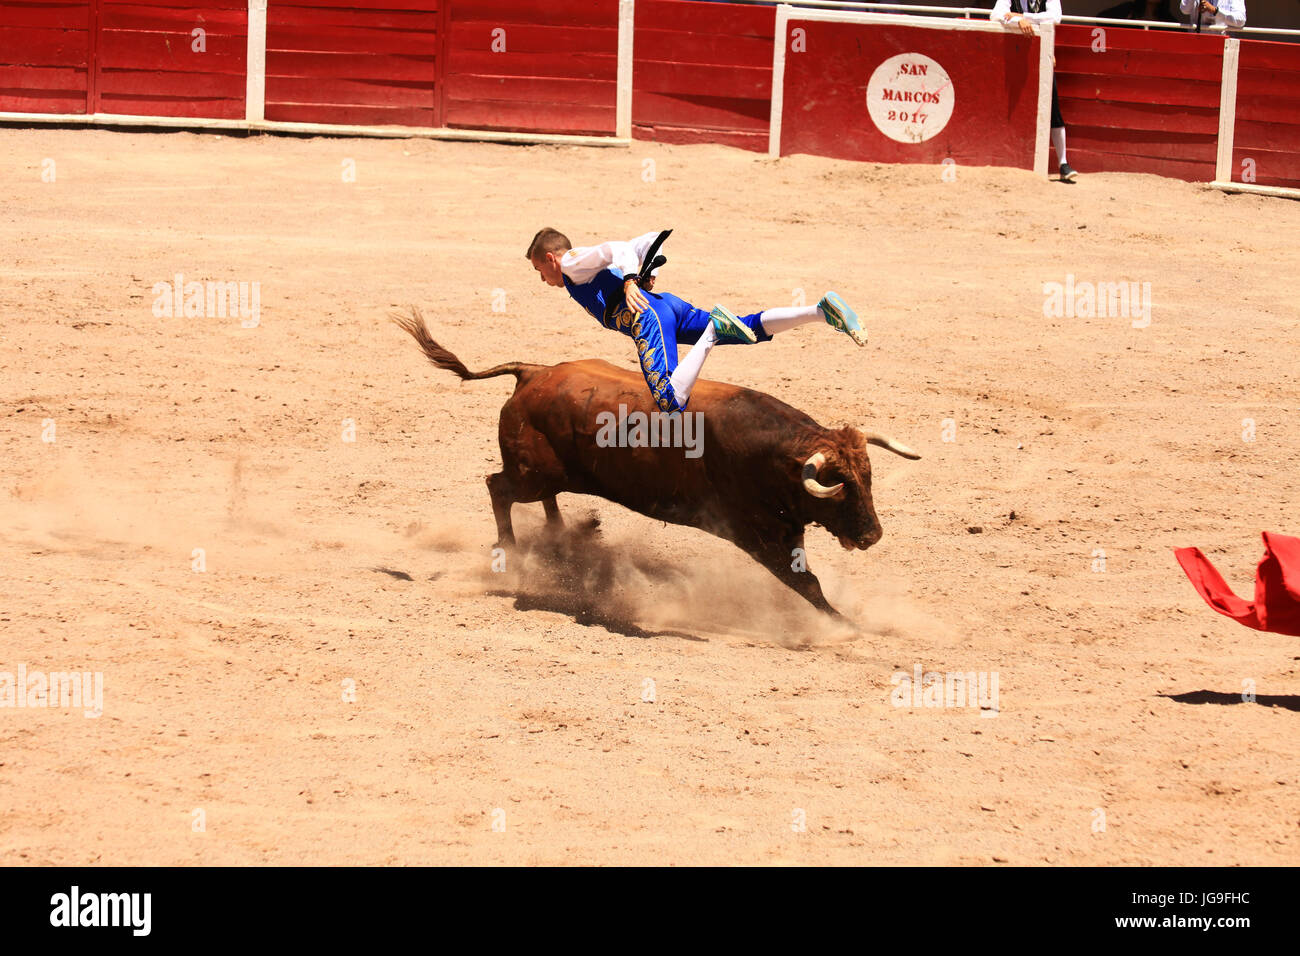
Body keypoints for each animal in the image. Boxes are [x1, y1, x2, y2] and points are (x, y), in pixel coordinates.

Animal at [391, 307, 919, 620]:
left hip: (549, 472)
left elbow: (805, 579)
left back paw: (564, 538)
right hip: (528, 473)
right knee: (497, 487)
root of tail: (532, 373)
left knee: (544, 497)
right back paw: (512, 550)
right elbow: (806, 583)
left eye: (869, 479)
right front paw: (843, 626)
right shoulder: (758, 535)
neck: (778, 458)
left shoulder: (785, 531)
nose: (873, 535)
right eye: (838, 483)